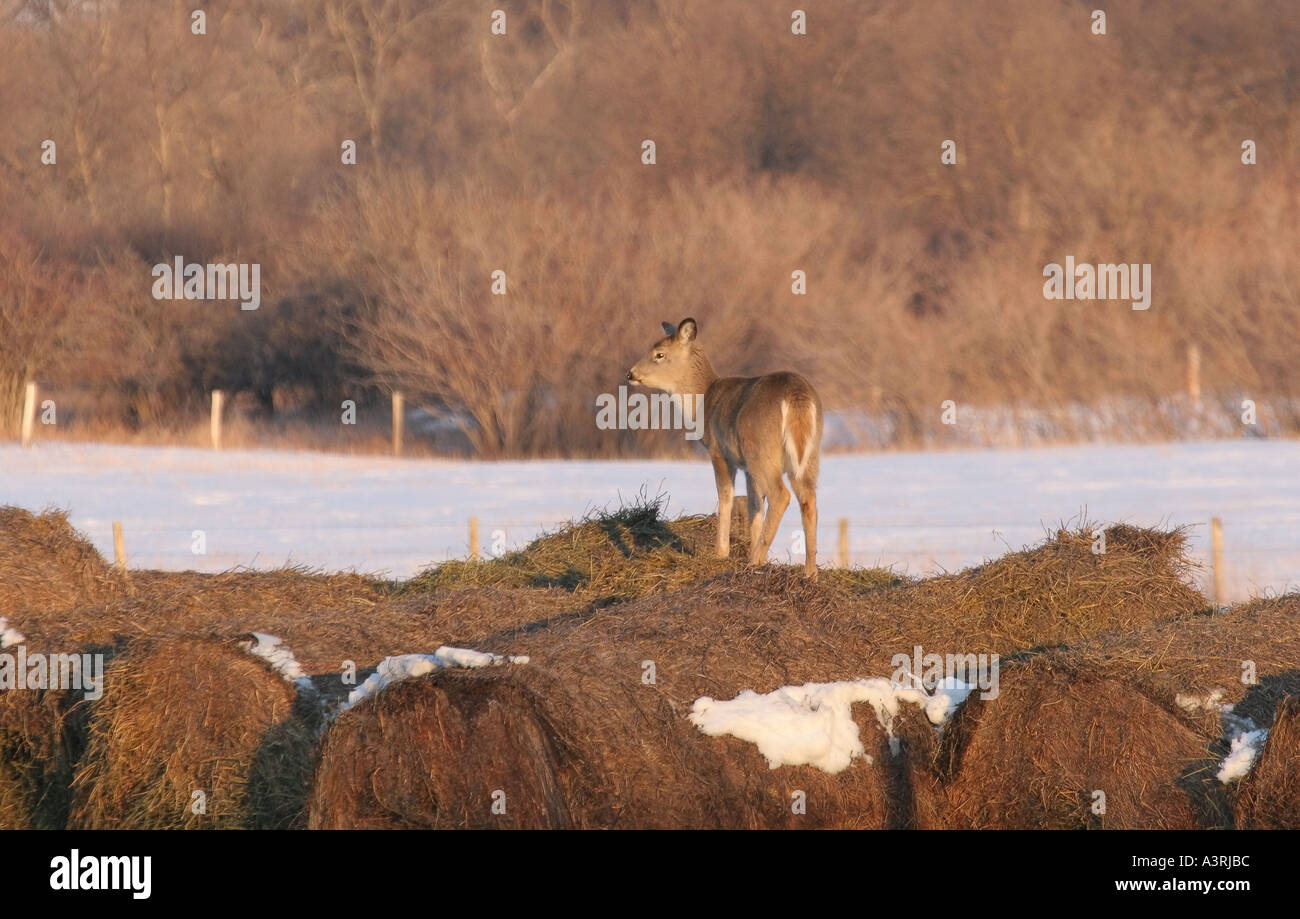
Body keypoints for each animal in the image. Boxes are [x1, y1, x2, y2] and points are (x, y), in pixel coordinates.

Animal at [626, 318, 823, 577]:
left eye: (659, 354)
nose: (630, 373)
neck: (703, 402)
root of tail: (796, 396)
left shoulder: (720, 452)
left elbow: (725, 496)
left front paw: (721, 552)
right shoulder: (746, 466)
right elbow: (754, 505)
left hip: (761, 449)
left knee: (781, 495)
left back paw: (757, 560)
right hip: (809, 454)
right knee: (808, 498)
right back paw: (809, 572)